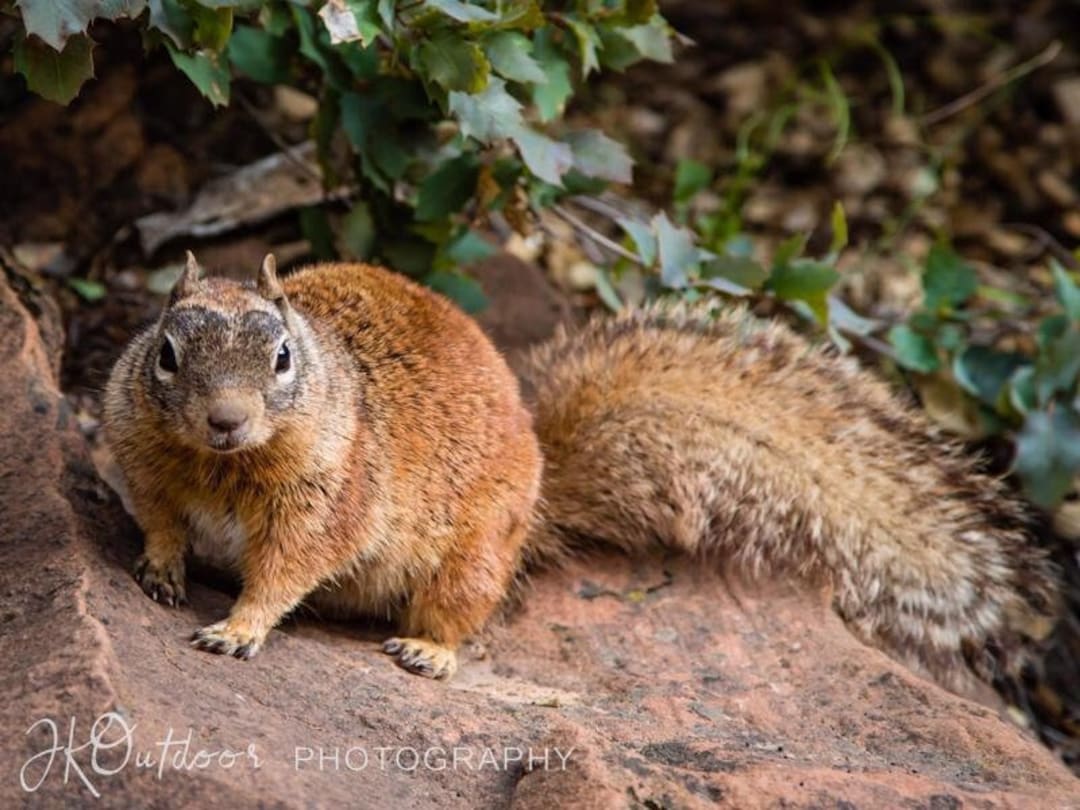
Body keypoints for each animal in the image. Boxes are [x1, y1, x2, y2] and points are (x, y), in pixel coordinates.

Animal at [104, 251, 1067, 696]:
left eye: (280, 357)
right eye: (165, 353)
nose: (226, 421)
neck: (219, 468)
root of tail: (540, 487)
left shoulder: (330, 501)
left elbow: (285, 569)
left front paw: (238, 629)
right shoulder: (142, 457)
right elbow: (157, 516)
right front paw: (161, 569)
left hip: (472, 560)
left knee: (459, 614)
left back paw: (428, 650)